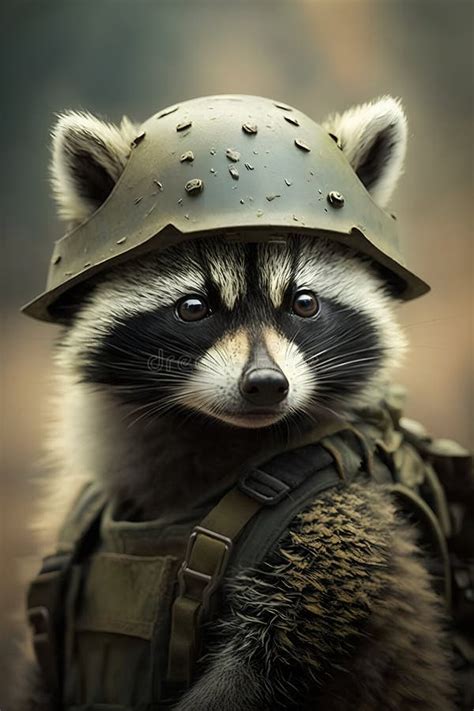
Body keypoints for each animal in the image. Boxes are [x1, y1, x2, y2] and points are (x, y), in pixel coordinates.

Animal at [17, 98, 456, 711]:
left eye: (303, 303)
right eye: (194, 308)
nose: (267, 385)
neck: (213, 436)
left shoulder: (343, 521)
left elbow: (271, 660)